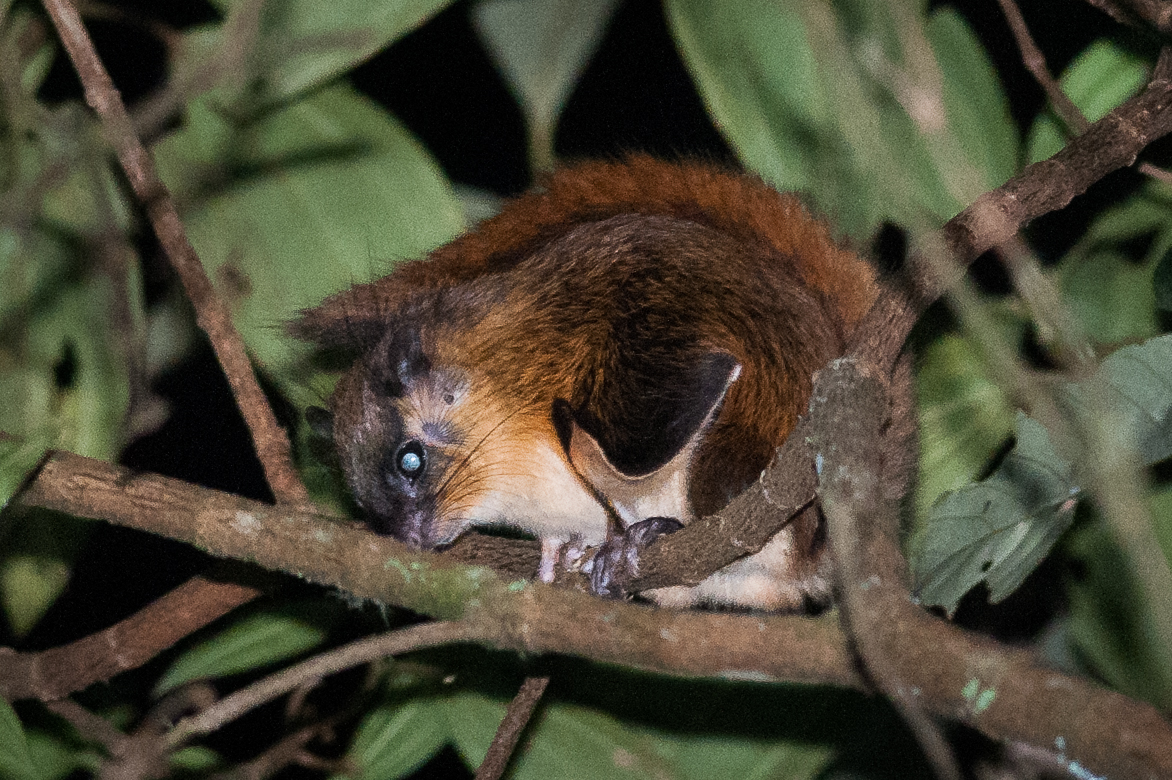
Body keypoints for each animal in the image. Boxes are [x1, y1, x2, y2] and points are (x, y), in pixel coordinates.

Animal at [292, 156, 909, 611]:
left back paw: (652, 534)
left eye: (409, 460)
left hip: (727, 463)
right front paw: (557, 557)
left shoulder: (638, 361)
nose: (409, 544)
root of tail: (824, 547)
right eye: (362, 501)